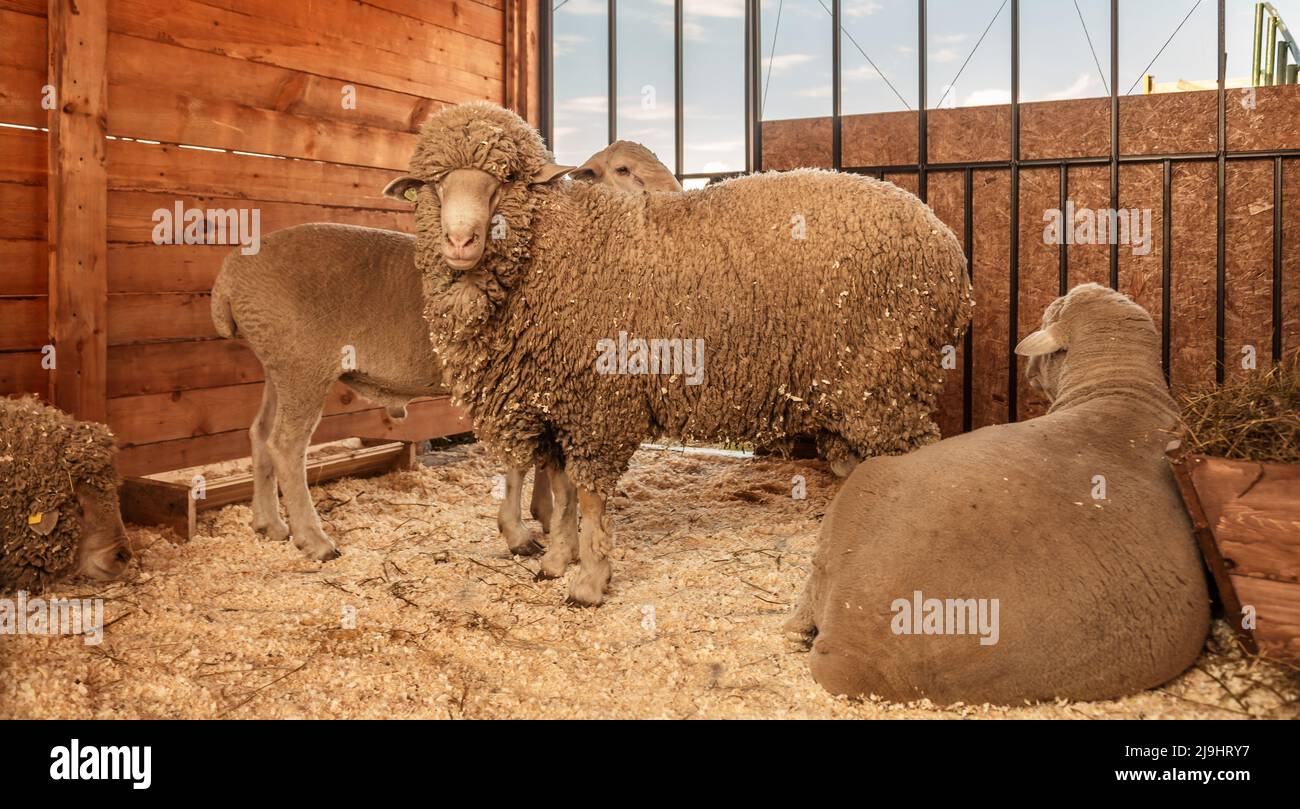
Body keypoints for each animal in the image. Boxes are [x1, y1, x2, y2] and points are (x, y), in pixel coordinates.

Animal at [210, 141, 682, 561]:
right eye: (622, 169)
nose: (675, 196)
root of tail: (231, 275)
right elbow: (519, 461)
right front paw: (520, 533)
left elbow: (541, 456)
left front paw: (545, 517)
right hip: (302, 367)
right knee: (287, 445)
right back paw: (314, 541)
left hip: (278, 365)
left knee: (260, 434)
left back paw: (270, 525)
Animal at [384, 101, 972, 605]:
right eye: (434, 185)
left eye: (507, 180)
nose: (460, 242)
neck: (557, 246)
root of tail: (949, 247)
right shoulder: (553, 400)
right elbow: (564, 491)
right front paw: (555, 561)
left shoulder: (599, 403)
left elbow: (590, 496)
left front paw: (590, 582)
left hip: (887, 378)